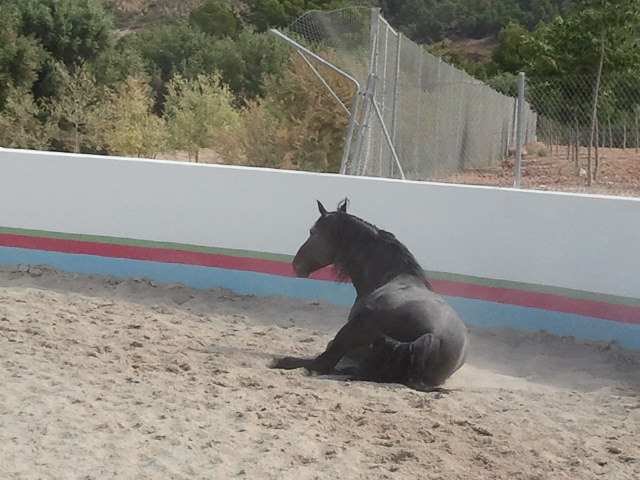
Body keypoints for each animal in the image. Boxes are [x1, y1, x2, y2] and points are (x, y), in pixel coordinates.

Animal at [272, 199, 469, 391]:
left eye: (313, 232)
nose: (296, 265)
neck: (393, 276)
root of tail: (433, 335)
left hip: (353, 329)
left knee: (321, 364)